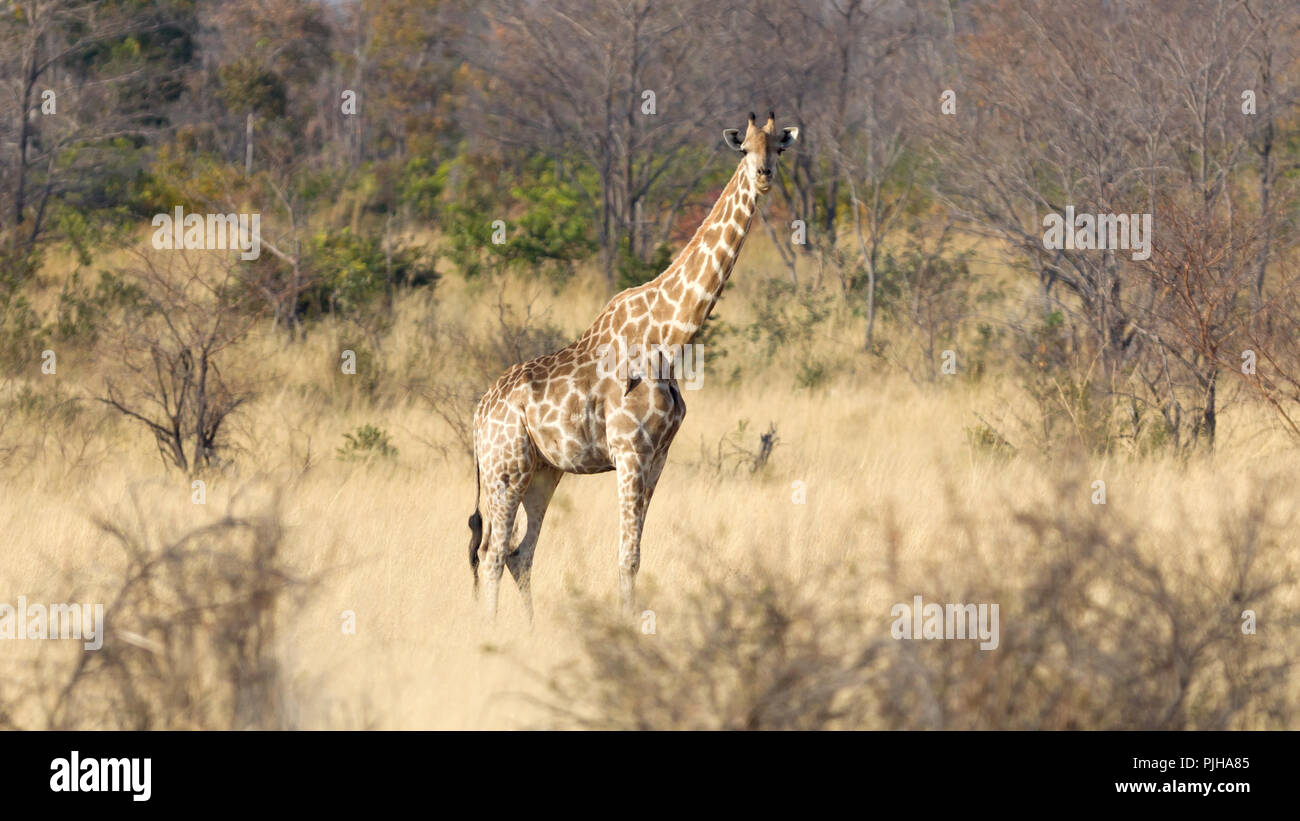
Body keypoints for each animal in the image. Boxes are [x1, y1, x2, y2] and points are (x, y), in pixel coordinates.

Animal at [466, 111, 799, 619]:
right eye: (743, 149)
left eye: (779, 147)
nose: (763, 177)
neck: (671, 336)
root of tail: (479, 415)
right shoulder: (628, 452)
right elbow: (626, 556)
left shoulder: (657, 456)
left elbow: (636, 555)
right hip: (506, 467)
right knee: (491, 553)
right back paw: (492, 630)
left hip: (544, 471)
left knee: (520, 554)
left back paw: (529, 629)